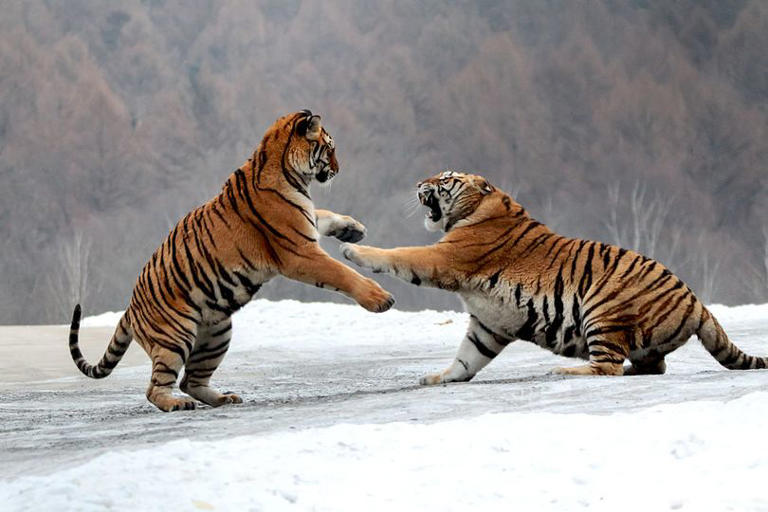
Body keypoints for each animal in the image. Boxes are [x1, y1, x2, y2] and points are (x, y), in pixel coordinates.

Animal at [68, 110, 394, 412]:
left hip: (216, 333)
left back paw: (224, 398)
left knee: (190, 381)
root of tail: (130, 309)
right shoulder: (299, 252)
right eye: (330, 148)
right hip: (176, 336)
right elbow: (342, 274)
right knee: (156, 388)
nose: (338, 169)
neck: (287, 170)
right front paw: (380, 299)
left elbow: (323, 214)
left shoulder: (305, 228)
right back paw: (177, 404)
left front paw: (353, 229)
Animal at [341, 170, 767, 384]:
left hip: (602, 310)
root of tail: (698, 303)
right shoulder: (489, 322)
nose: (418, 184)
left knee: (608, 366)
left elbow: (399, 255)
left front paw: (353, 251)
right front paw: (439, 378)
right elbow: (467, 357)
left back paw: (564, 370)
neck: (478, 209)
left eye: (444, 178)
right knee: (651, 366)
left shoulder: (443, 258)